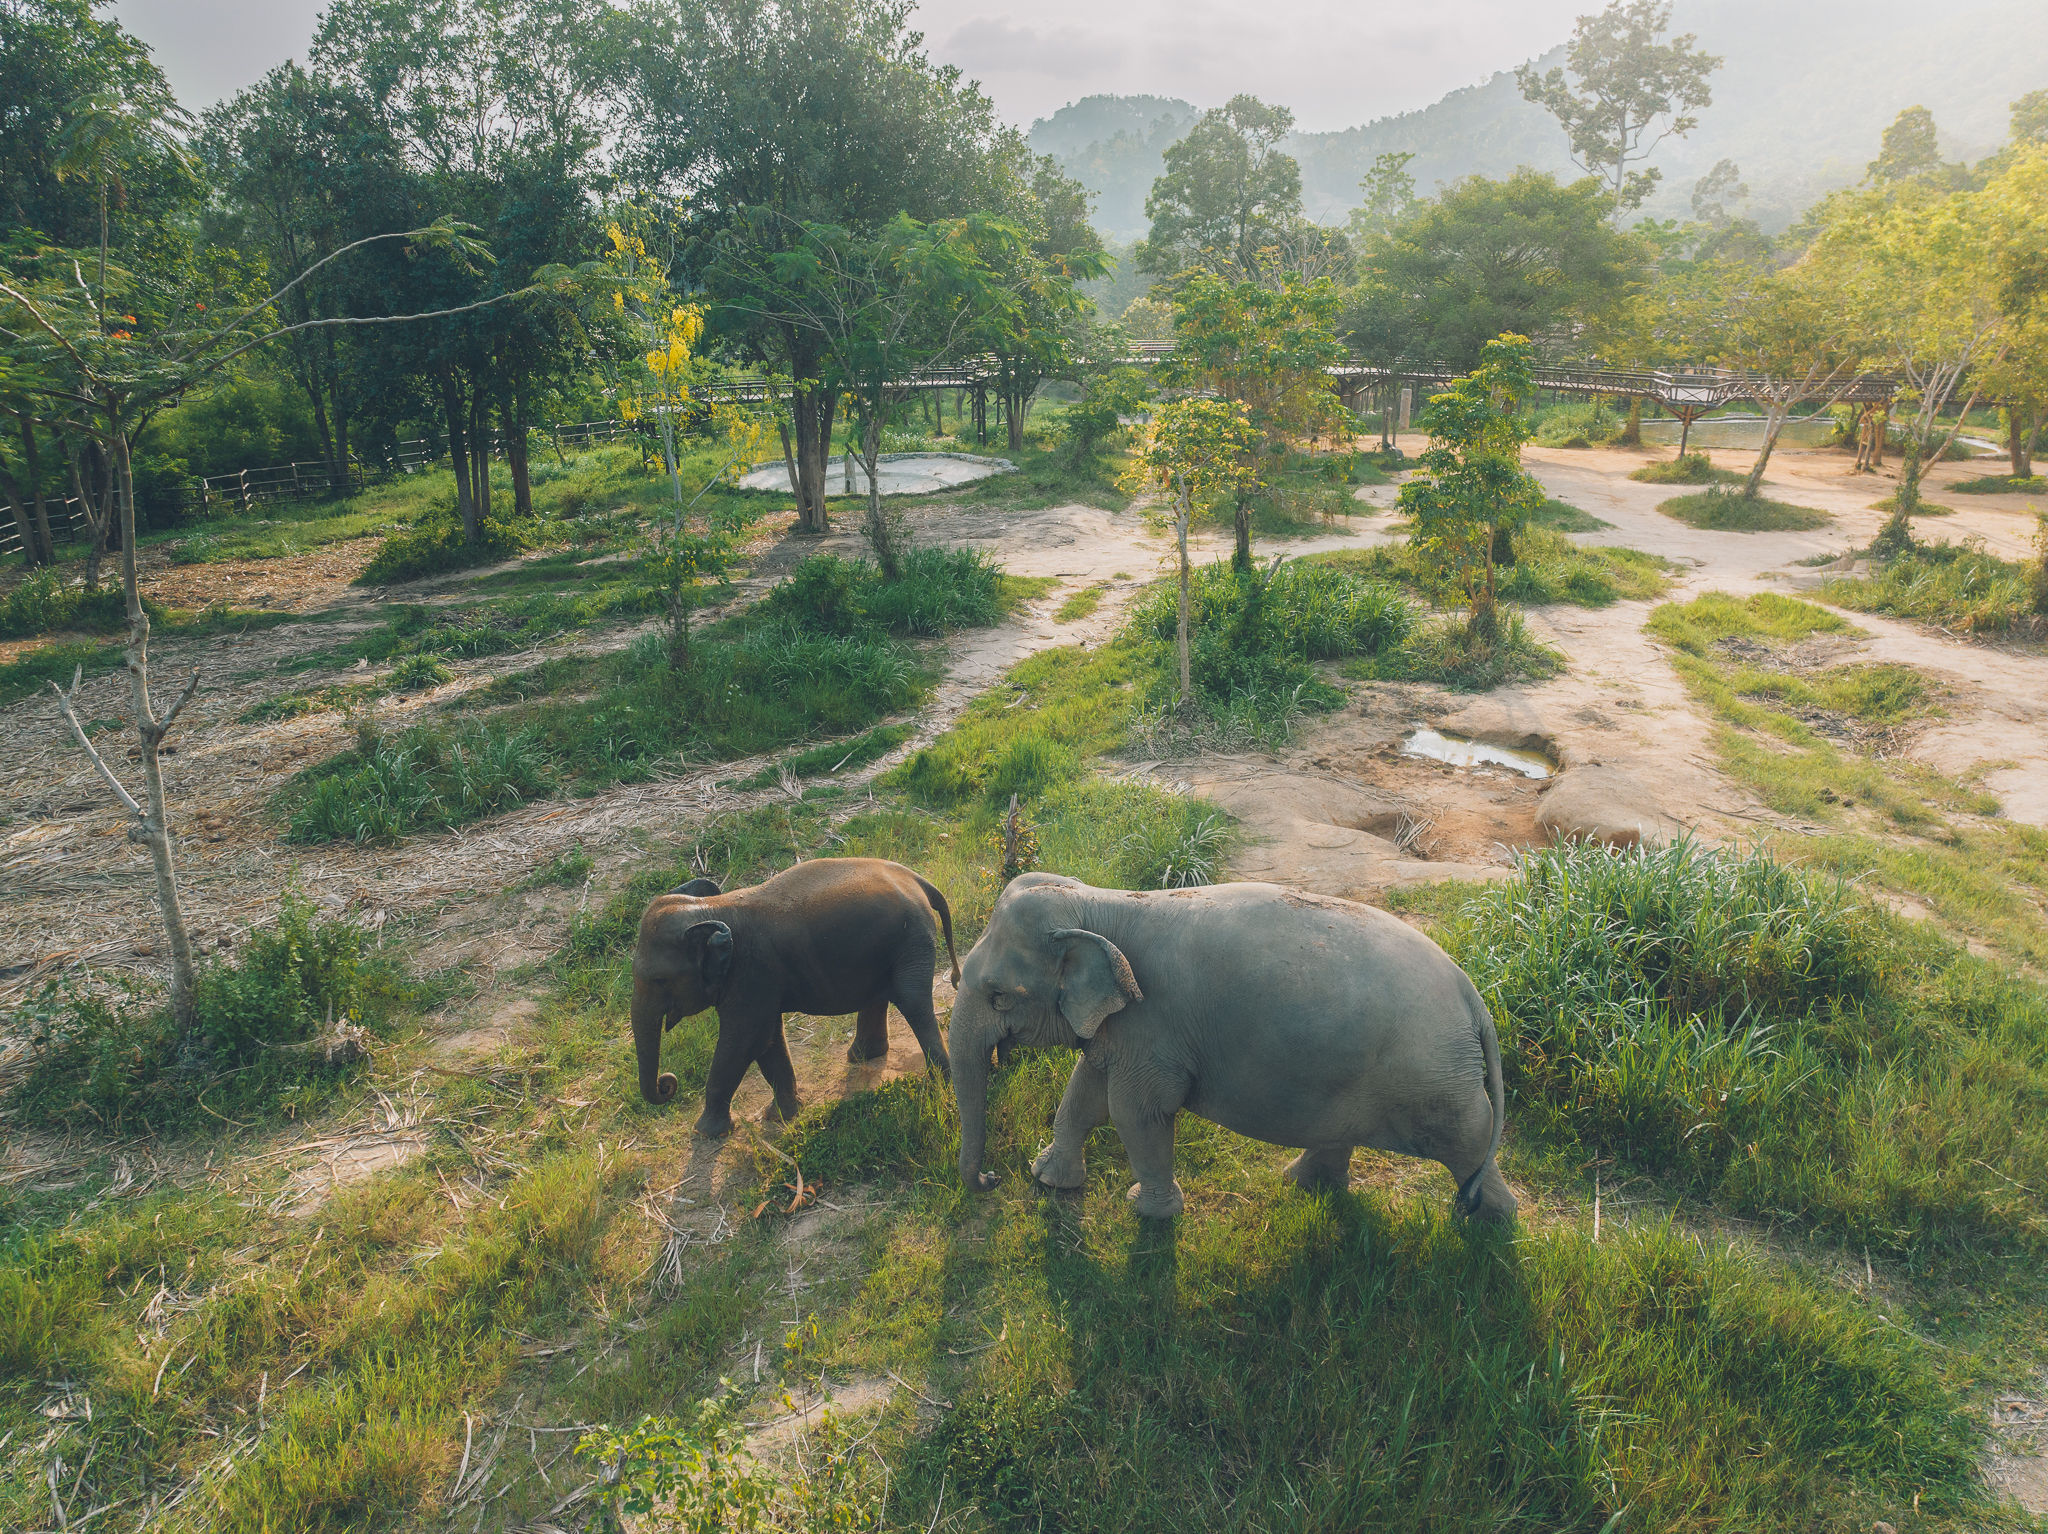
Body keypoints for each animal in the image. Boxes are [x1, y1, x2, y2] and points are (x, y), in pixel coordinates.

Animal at [631, 858, 959, 1138]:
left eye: (659, 980)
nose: (667, 1083)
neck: (714, 908)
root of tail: (919, 880)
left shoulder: (751, 972)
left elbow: (744, 1041)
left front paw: (705, 1133)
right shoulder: (757, 981)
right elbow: (767, 1040)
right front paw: (781, 1115)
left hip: (912, 939)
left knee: (912, 1001)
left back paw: (939, 1080)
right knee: (881, 995)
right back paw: (862, 1057)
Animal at [948, 873, 1513, 1223]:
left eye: (999, 995)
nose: (993, 1178)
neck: (1101, 903)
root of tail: (1474, 999)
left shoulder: (1154, 1026)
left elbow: (1136, 1111)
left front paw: (1148, 1213)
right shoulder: (1126, 1029)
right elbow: (1085, 1091)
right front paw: (1048, 1180)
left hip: (1438, 1079)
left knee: (1468, 1139)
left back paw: (1491, 1225)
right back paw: (1302, 1185)